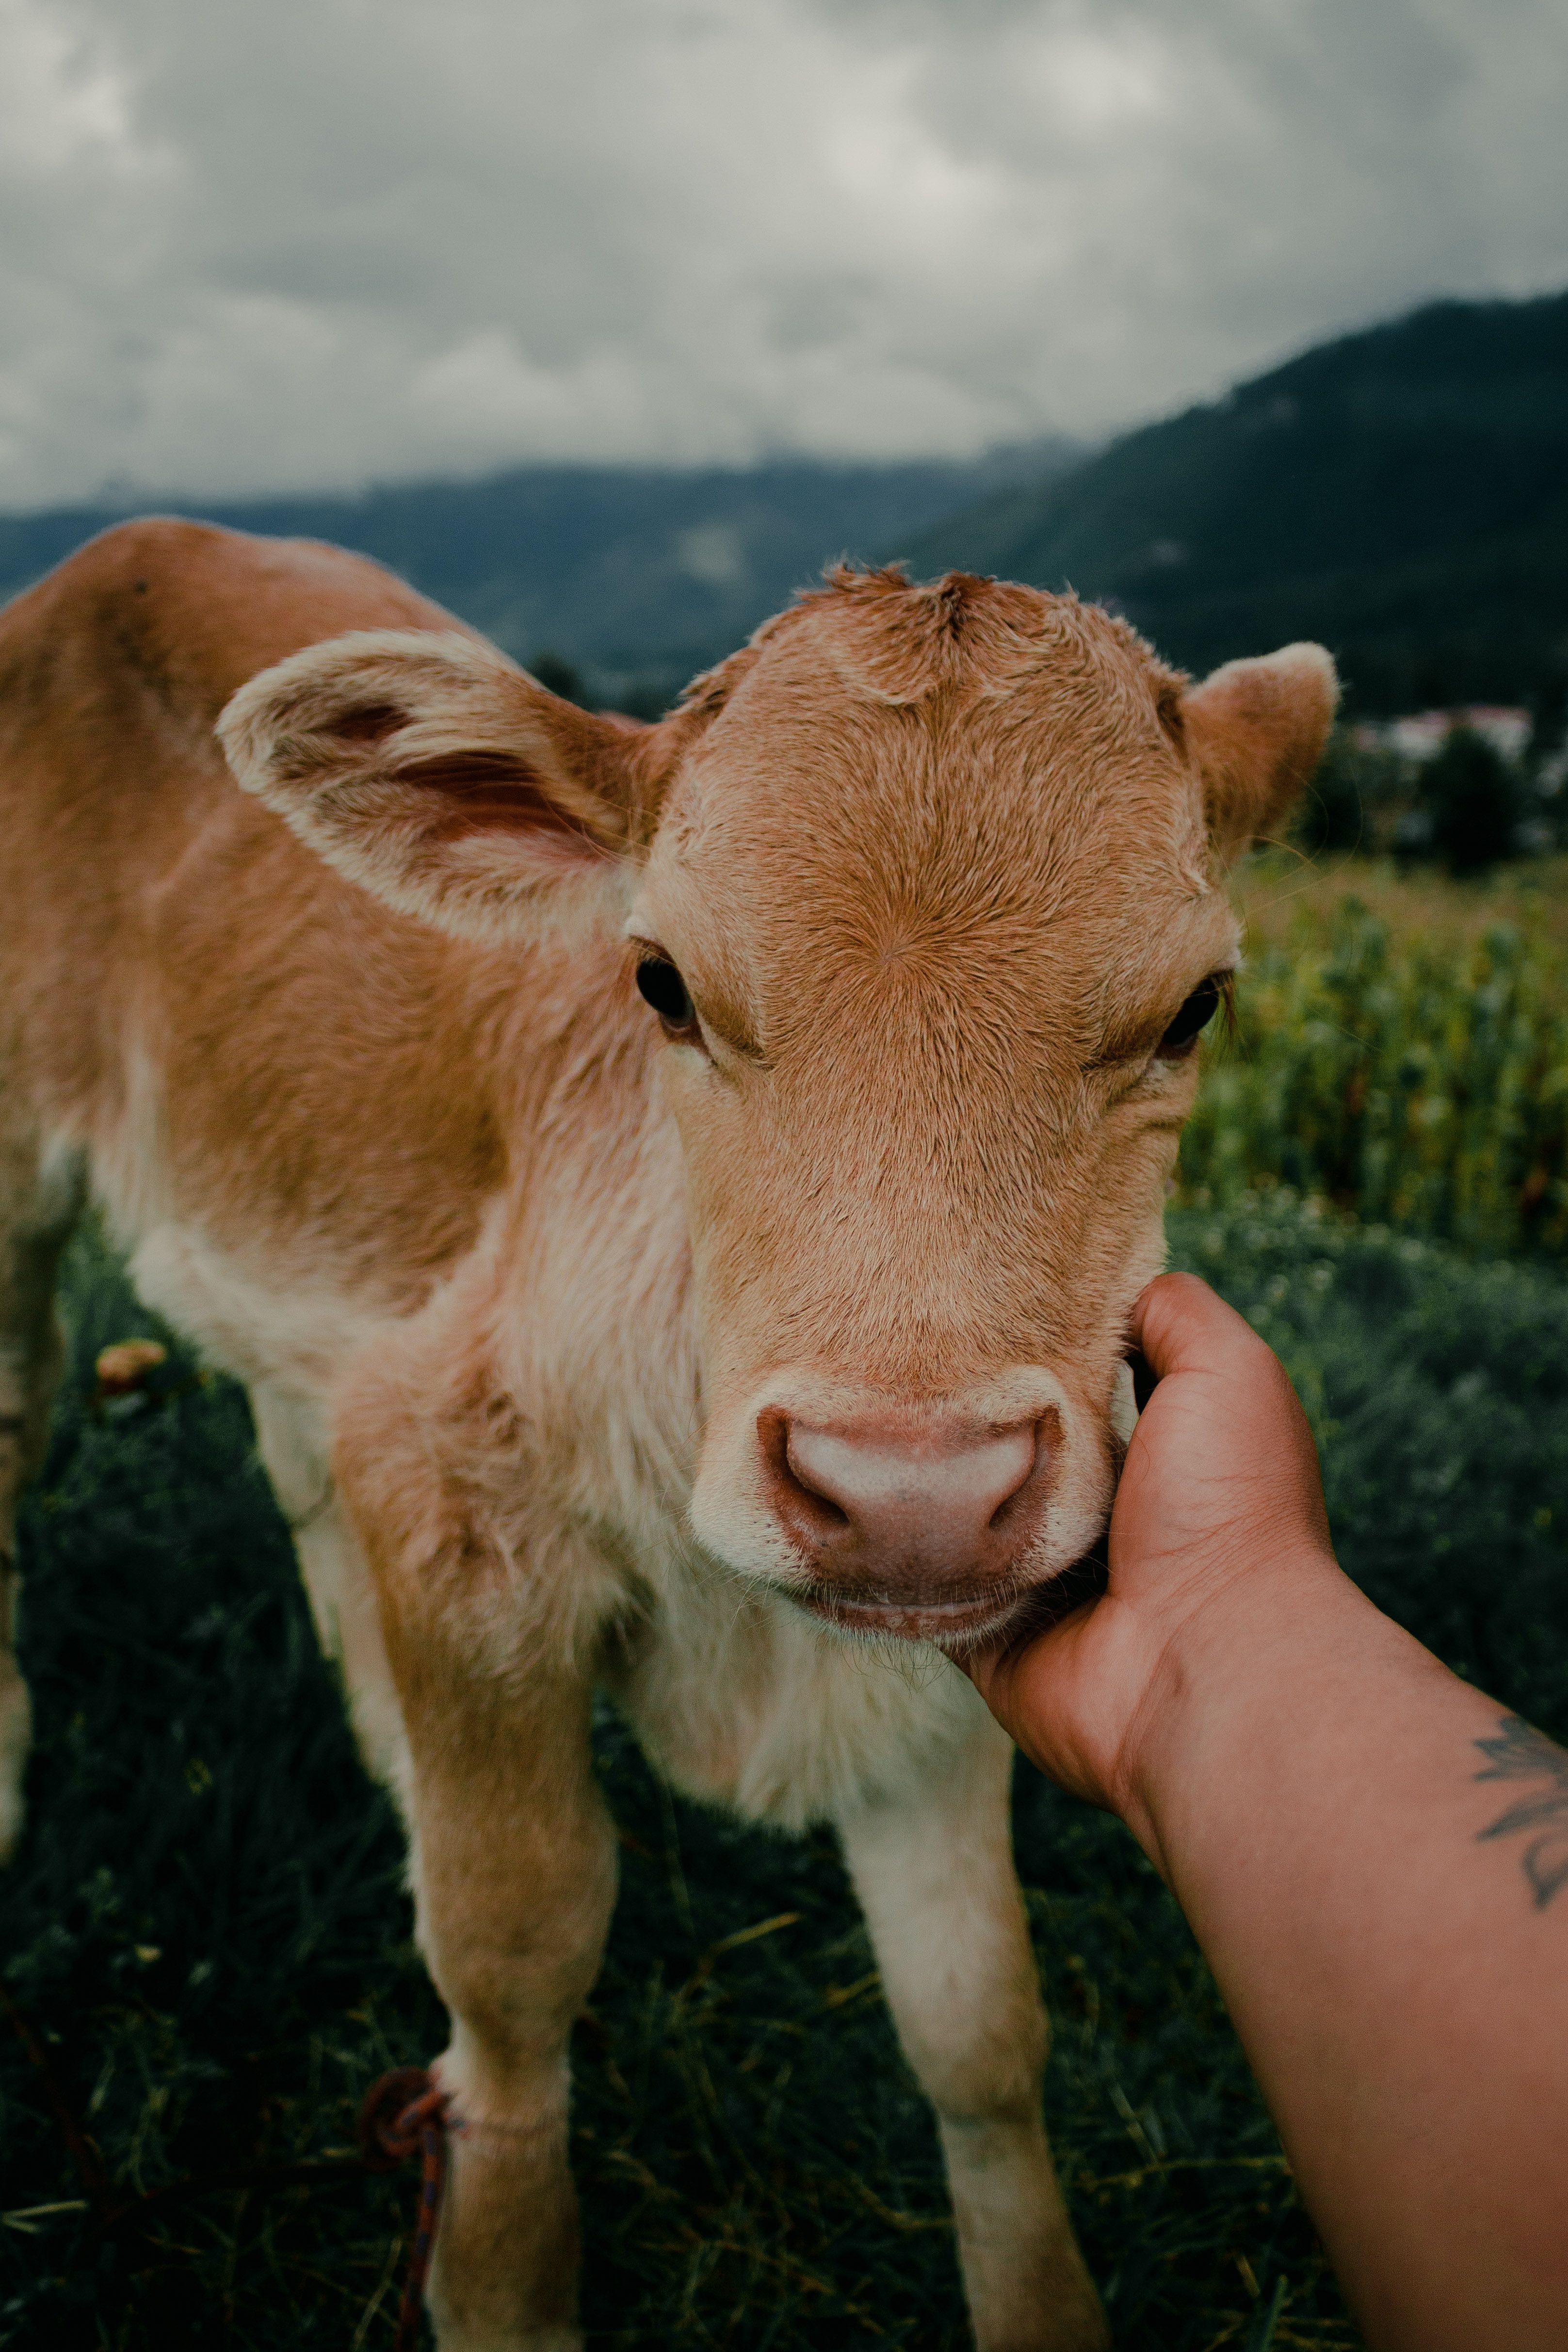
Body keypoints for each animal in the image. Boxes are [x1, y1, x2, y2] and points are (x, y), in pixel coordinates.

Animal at [0, 519, 1335, 2351]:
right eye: (663, 983)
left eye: (1195, 1004)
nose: (907, 1491)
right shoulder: (460, 1502)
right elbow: (516, 1947)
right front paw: (499, 2273)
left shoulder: (934, 1666)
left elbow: (980, 2024)